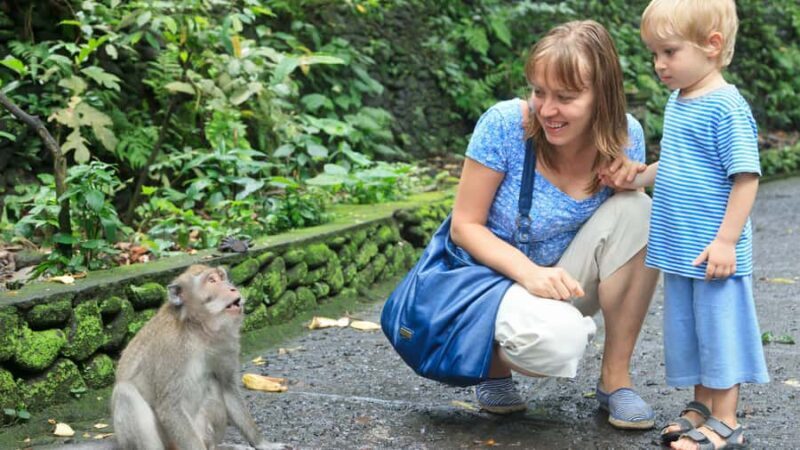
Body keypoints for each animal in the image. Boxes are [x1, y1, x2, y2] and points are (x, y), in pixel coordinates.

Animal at [110, 264, 287, 450]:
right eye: (212, 280)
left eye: (221, 277)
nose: (232, 288)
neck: (197, 329)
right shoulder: (171, 347)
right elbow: (170, 407)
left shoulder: (225, 343)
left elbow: (227, 387)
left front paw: (262, 443)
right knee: (125, 392)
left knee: (212, 382)